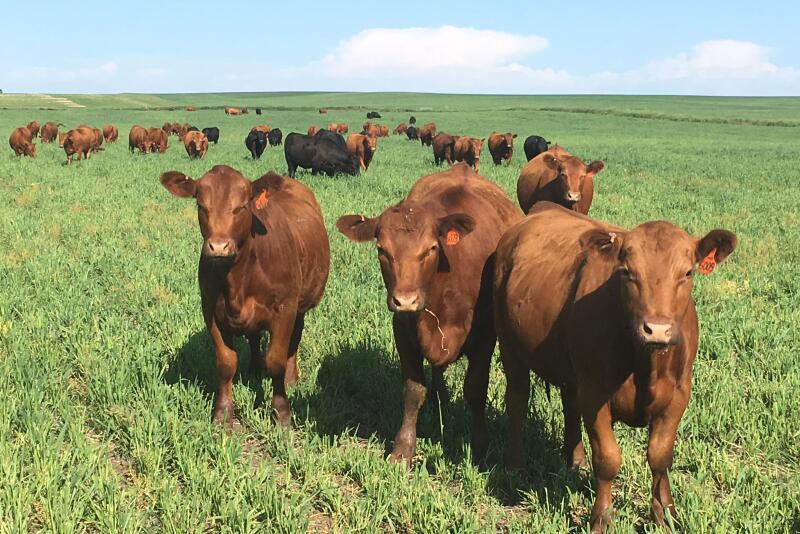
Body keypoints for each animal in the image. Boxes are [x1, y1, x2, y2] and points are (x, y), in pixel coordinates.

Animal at [159, 165, 330, 426]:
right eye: (201, 205)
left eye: (241, 207)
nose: (218, 247)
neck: (237, 280)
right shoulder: (210, 309)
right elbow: (226, 363)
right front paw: (222, 414)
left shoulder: (285, 309)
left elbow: (276, 361)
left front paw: (282, 414)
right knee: (254, 337)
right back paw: (254, 369)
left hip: (301, 303)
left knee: (295, 337)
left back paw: (291, 377)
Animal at [336, 163, 523, 465]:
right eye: (381, 249)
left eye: (431, 248)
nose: (405, 300)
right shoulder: (403, 330)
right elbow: (413, 391)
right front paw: (403, 448)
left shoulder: (485, 335)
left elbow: (476, 389)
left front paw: (480, 444)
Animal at [494, 202, 737, 532]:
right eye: (626, 272)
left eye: (688, 272)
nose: (657, 330)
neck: (645, 367)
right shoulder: (595, 393)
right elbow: (608, 459)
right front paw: (601, 518)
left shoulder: (679, 393)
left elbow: (660, 456)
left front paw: (664, 514)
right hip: (509, 344)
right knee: (517, 401)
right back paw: (516, 465)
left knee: (569, 404)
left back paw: (575, 460)